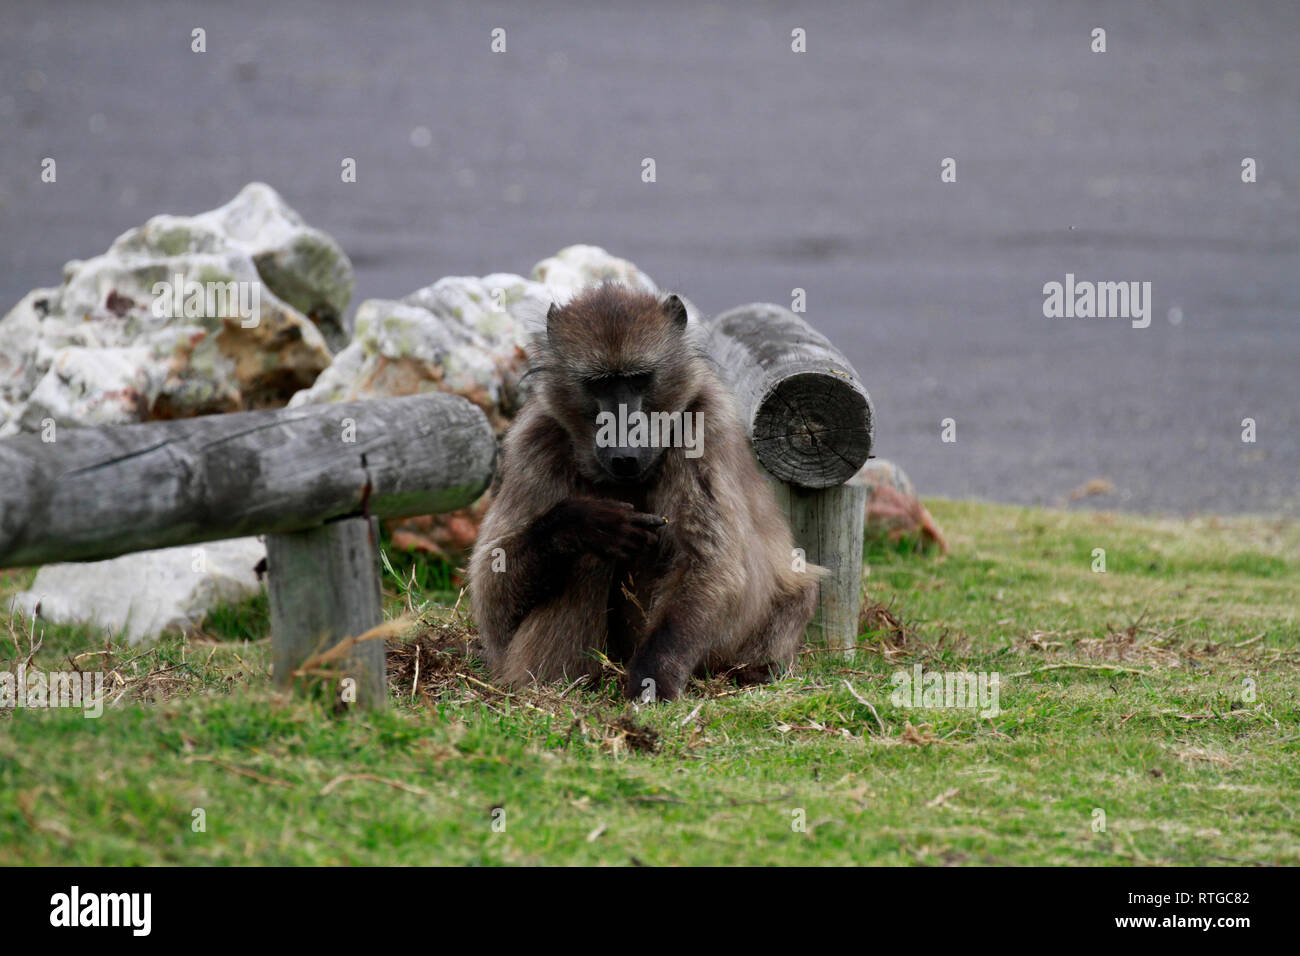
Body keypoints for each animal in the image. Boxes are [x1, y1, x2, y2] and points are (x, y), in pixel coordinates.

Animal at [468, 283, 820, 701]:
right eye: (600, 384)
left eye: (638, 380)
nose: (624, 451)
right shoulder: (534, 442)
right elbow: (492, 594)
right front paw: (582, 523)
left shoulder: (703, 428)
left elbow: (711, 563)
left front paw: (653, 680)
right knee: (590, 559)